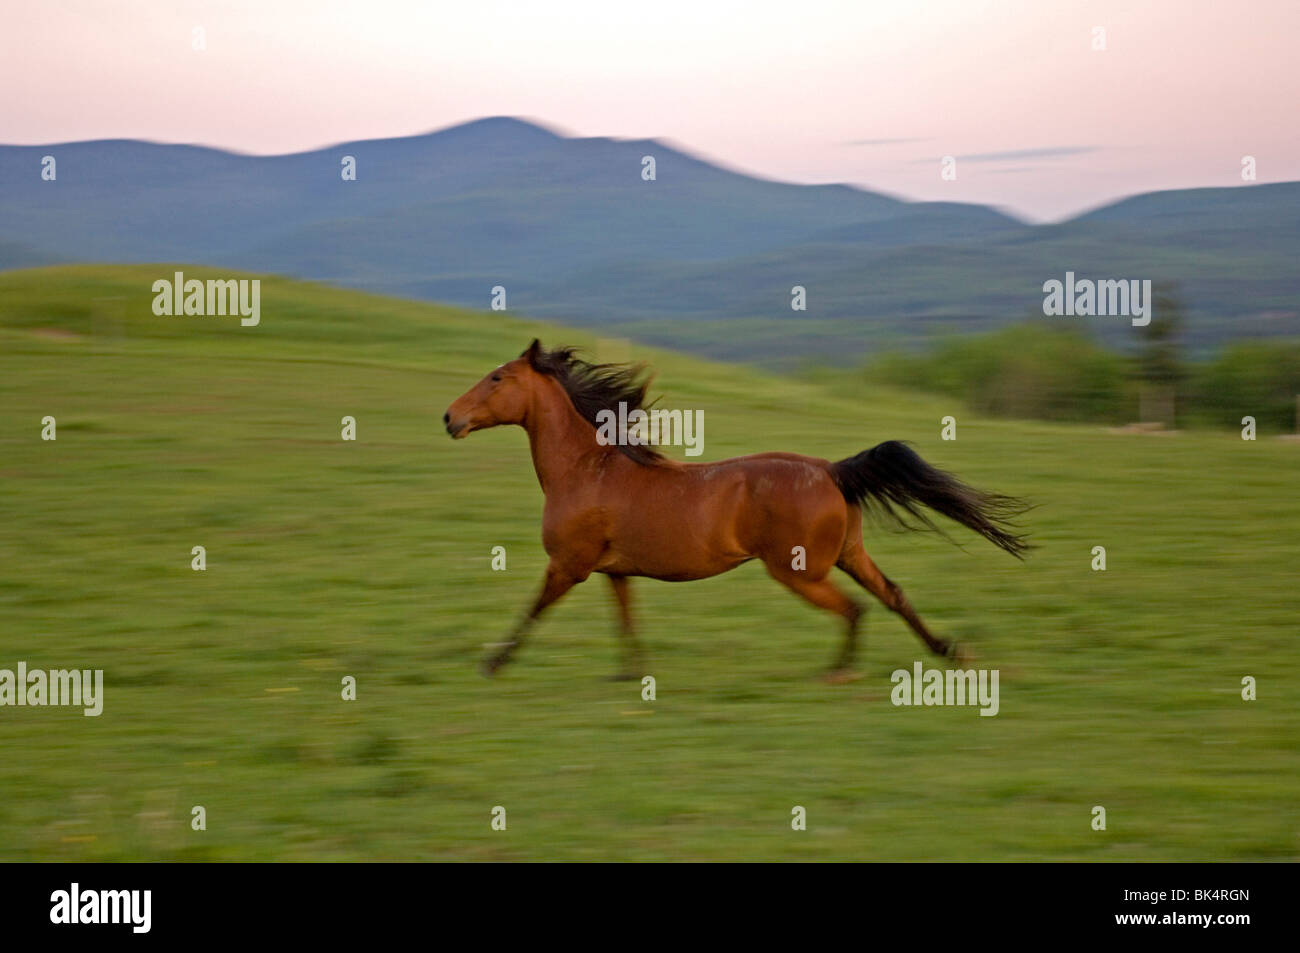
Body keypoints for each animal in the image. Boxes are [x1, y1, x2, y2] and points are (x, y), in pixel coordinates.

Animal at [444, 340, 1029, 681]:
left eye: (497, 378)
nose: (450, 418)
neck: (587, 469)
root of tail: (831, 470)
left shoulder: (568, 565)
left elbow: (532, 610)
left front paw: (492, 662)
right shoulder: (613, 571)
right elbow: (626, 620)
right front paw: (631, 675)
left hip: (799, 571)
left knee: (855, 609)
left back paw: (838, 672)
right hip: (847, 554)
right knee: (893, 595)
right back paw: (950, 650)